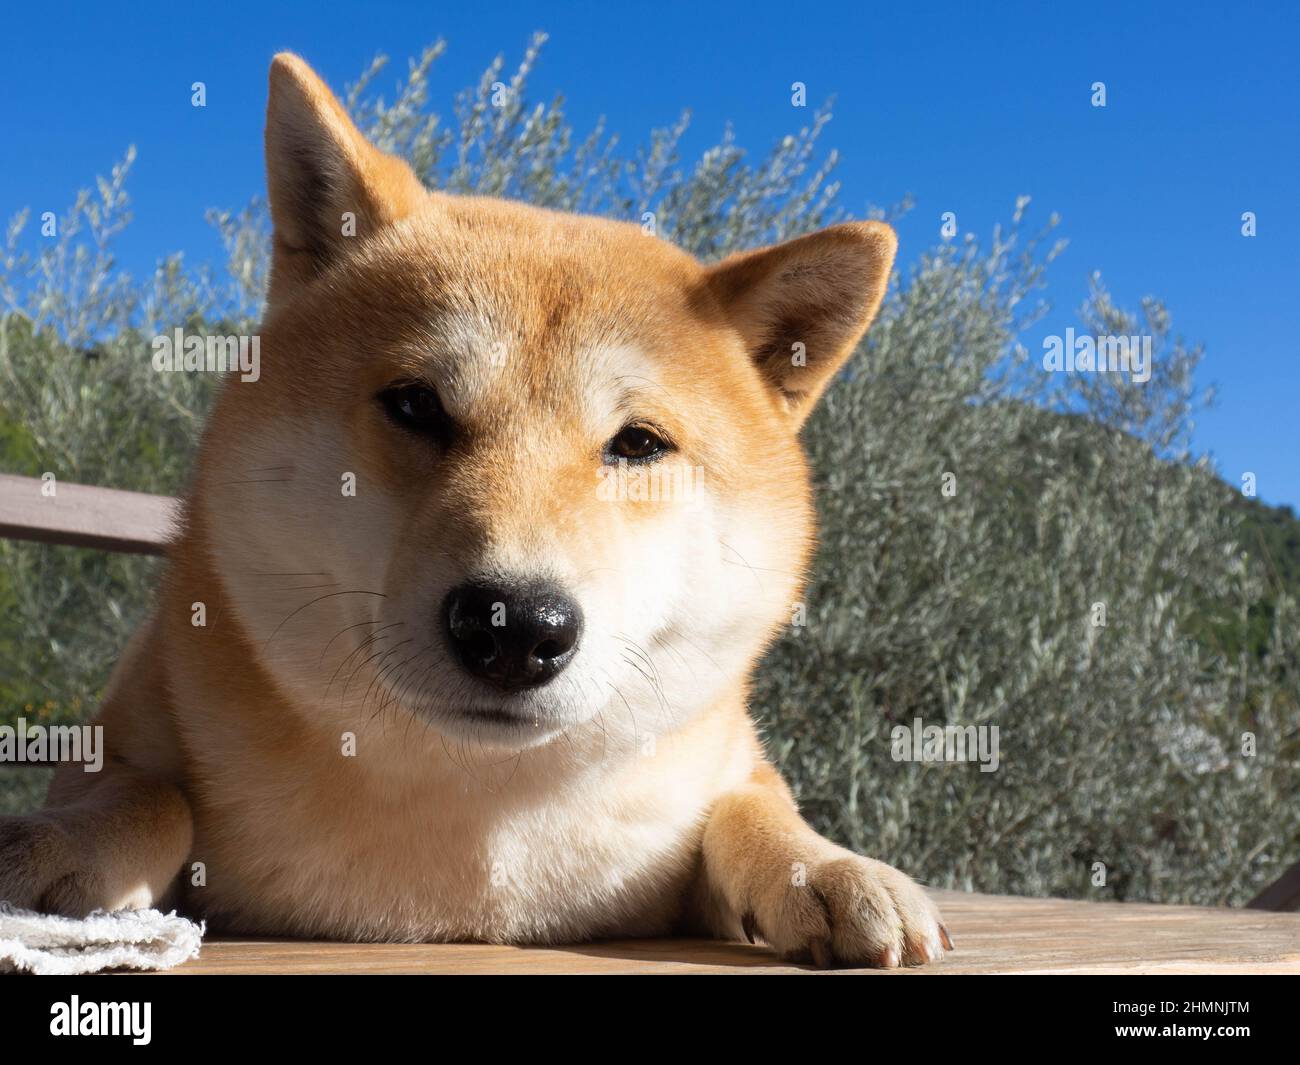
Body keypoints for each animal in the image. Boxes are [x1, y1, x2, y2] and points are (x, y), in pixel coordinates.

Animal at [0, 54, 950, 968]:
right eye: (416, 404)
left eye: (639, 443)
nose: (516, 624)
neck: (477, 837)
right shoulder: (127, 728)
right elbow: (147, 790)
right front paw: (62, 841)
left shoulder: (726, 765)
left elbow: (752, 806)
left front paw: (830, 866)